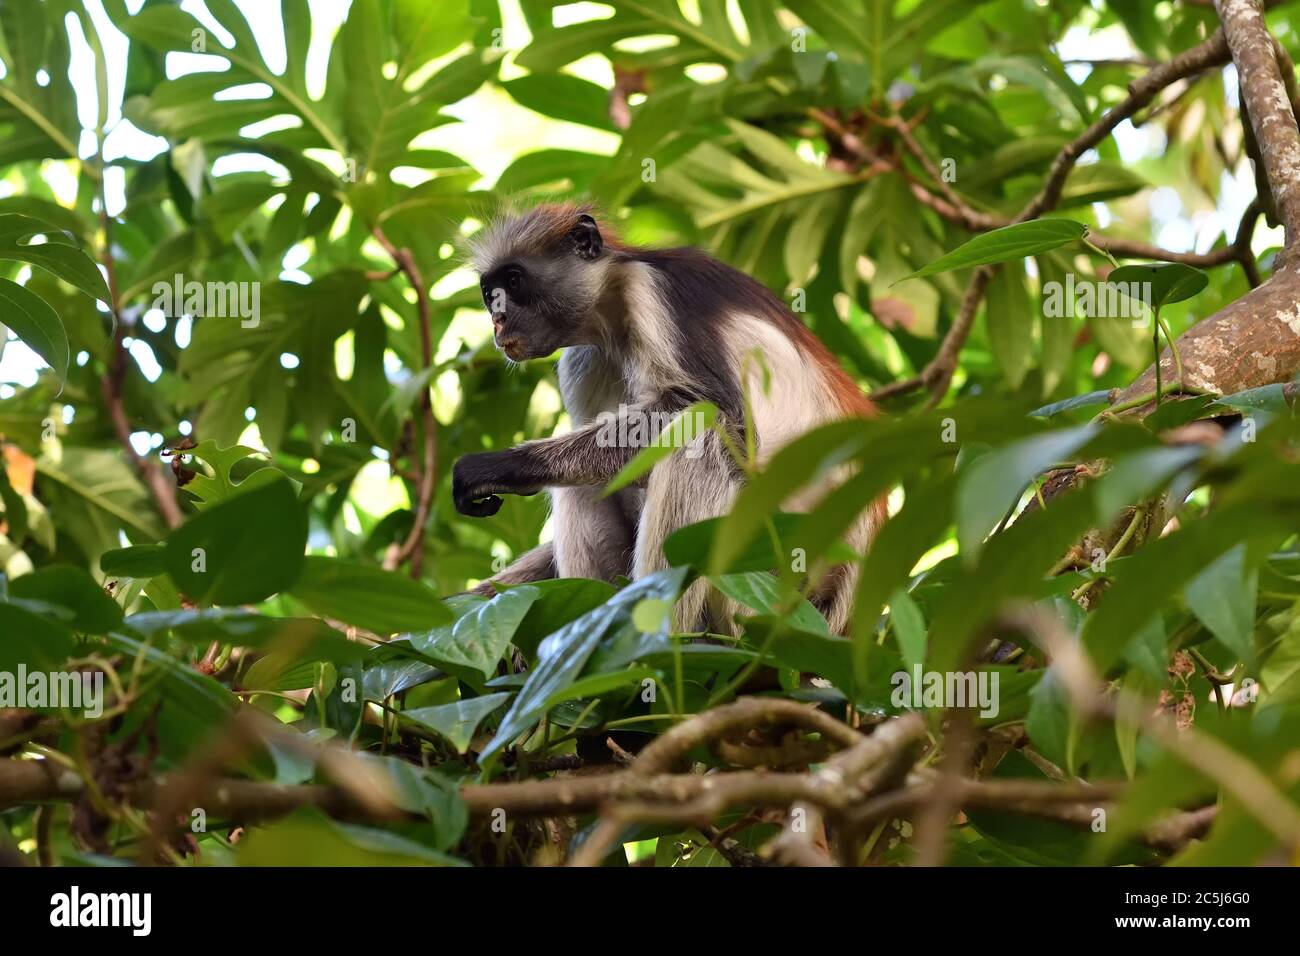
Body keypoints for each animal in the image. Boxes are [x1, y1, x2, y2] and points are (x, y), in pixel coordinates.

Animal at [452, 202, 885, 635]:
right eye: (489, 295)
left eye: (513, 281)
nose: (498, 321)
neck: (613, 316)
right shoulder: (583, 360)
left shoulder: (653, 292)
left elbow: (715, 411)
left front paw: (504, 465)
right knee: (585, 482)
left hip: (766, 592)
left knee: (698, 440)